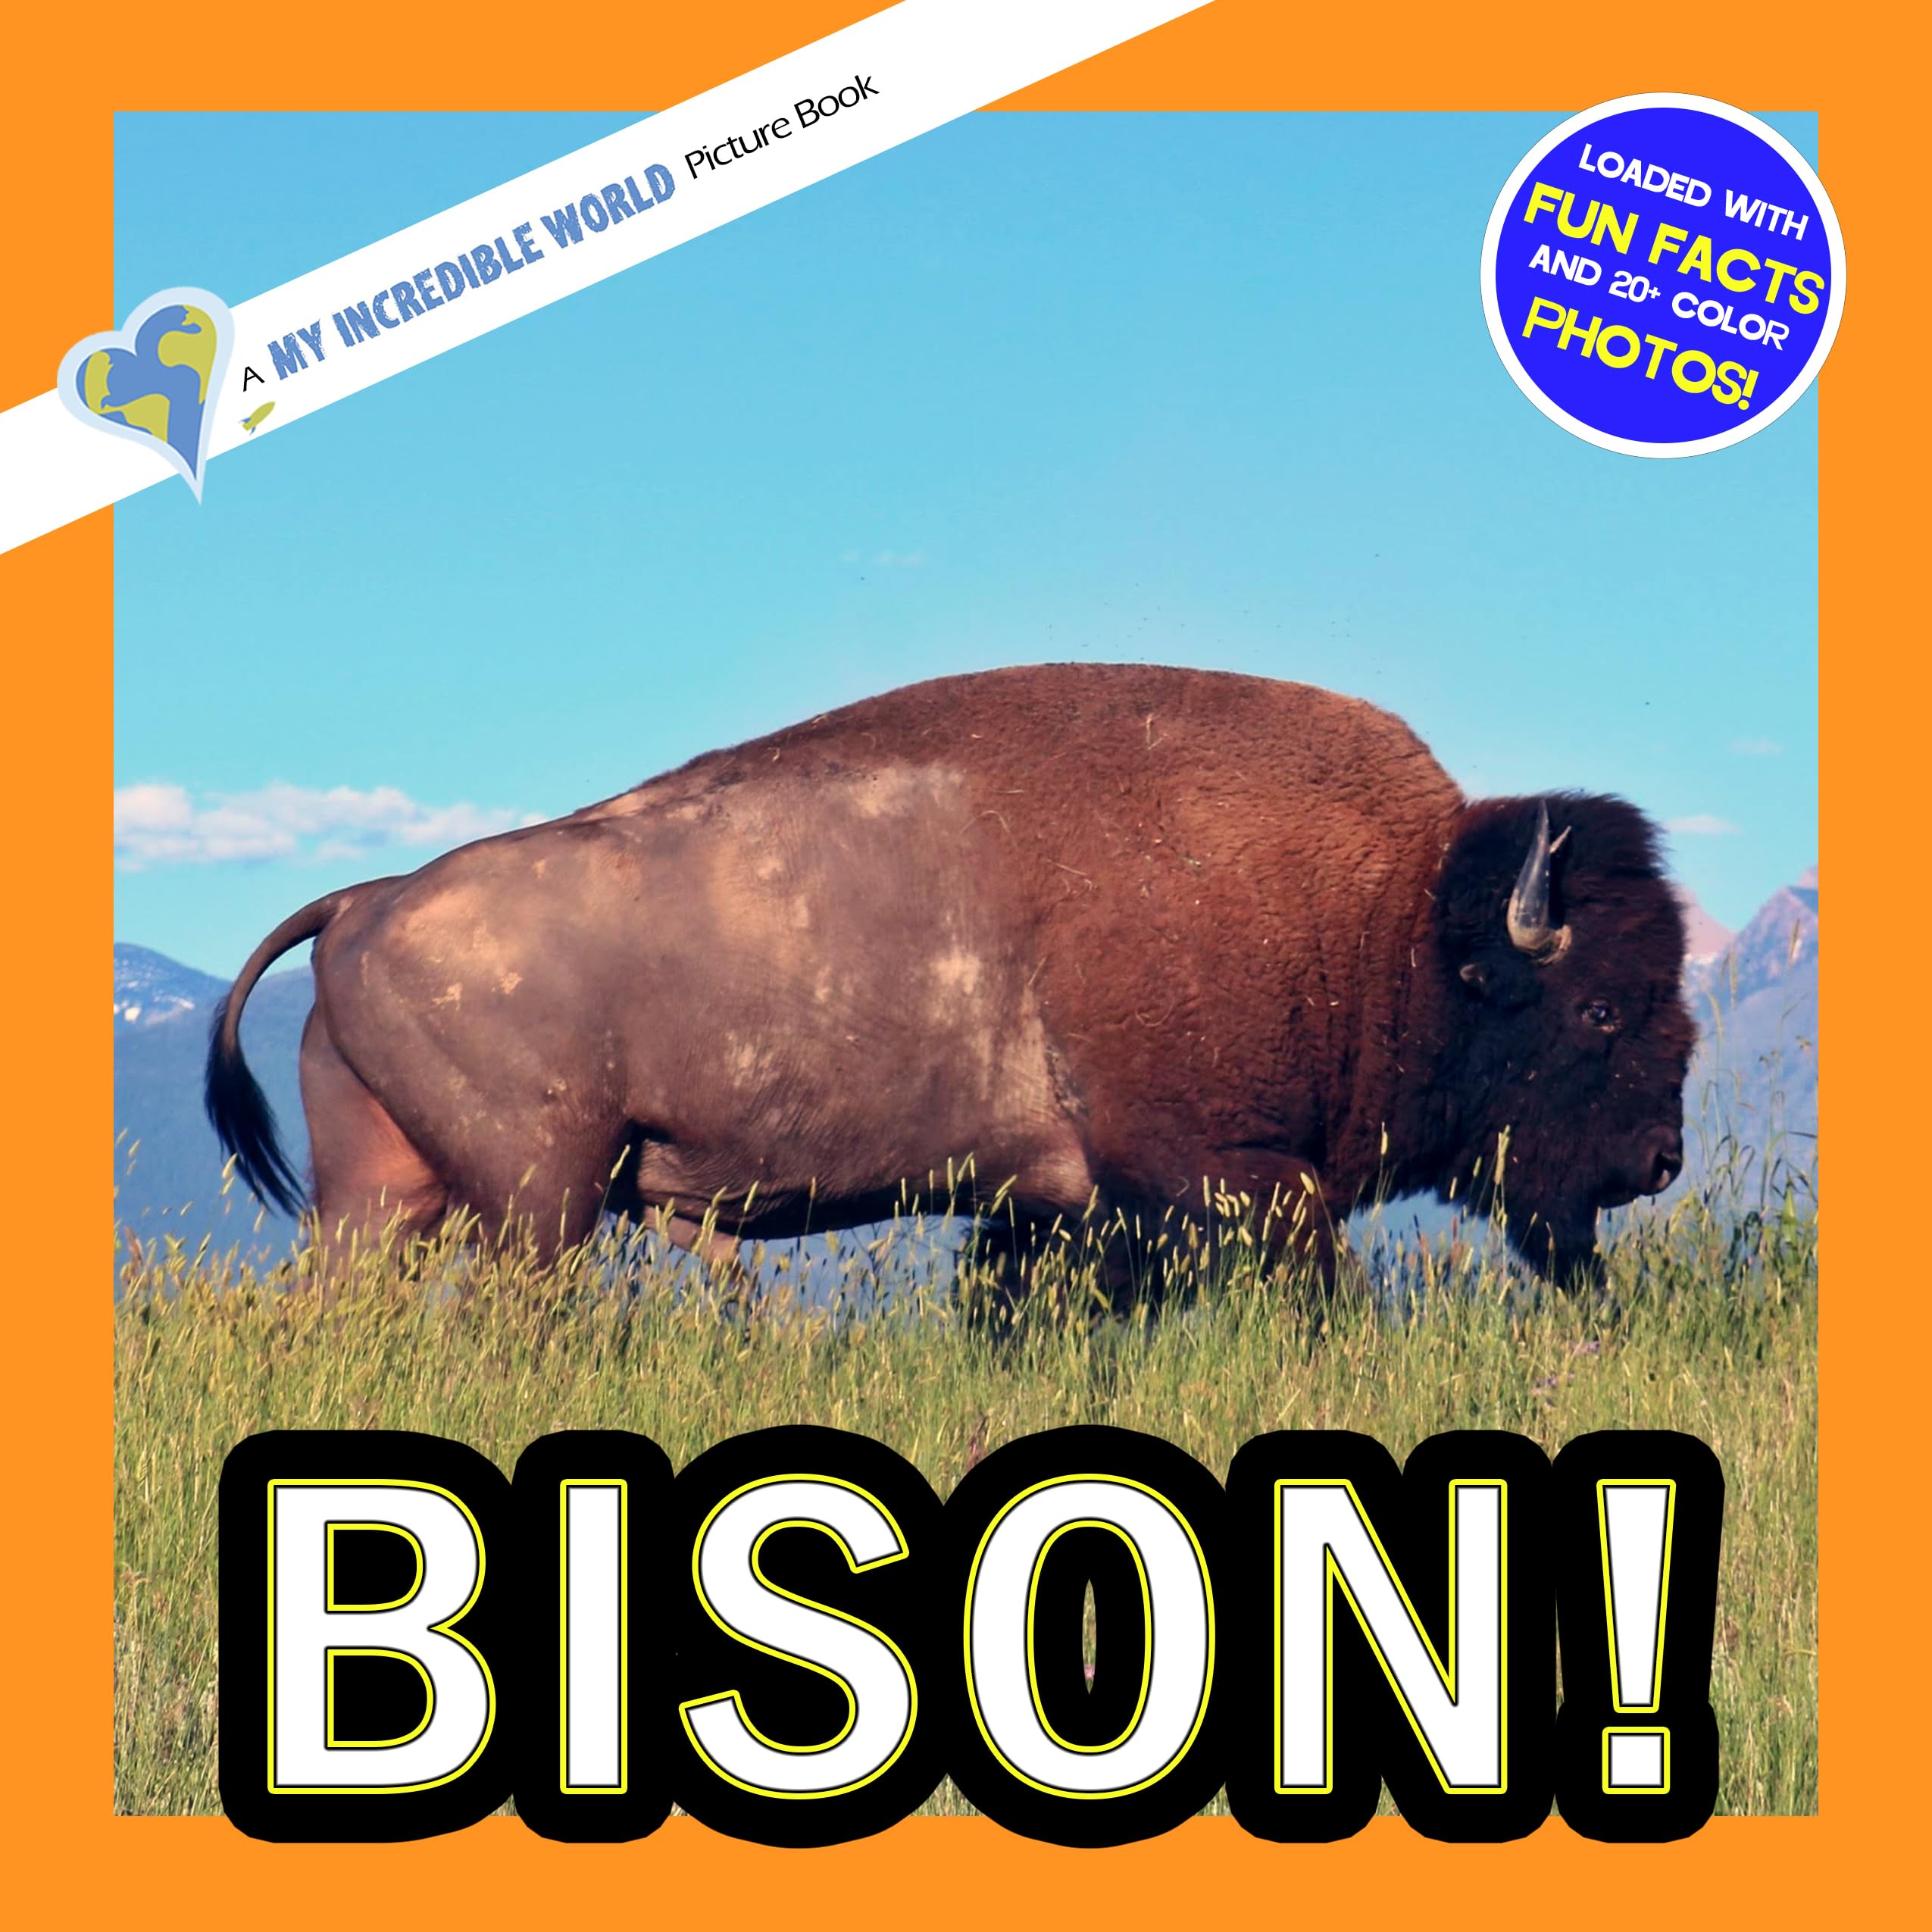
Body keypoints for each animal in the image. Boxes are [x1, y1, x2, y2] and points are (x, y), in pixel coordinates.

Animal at [208, 664, 1691, 1292]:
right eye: (1601, 1007)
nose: (1661, 1159)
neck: (1388, 918)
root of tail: (366, 898)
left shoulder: (1057, 1207)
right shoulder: (1227, 1176)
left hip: (383, 1199)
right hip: (541, 1199)